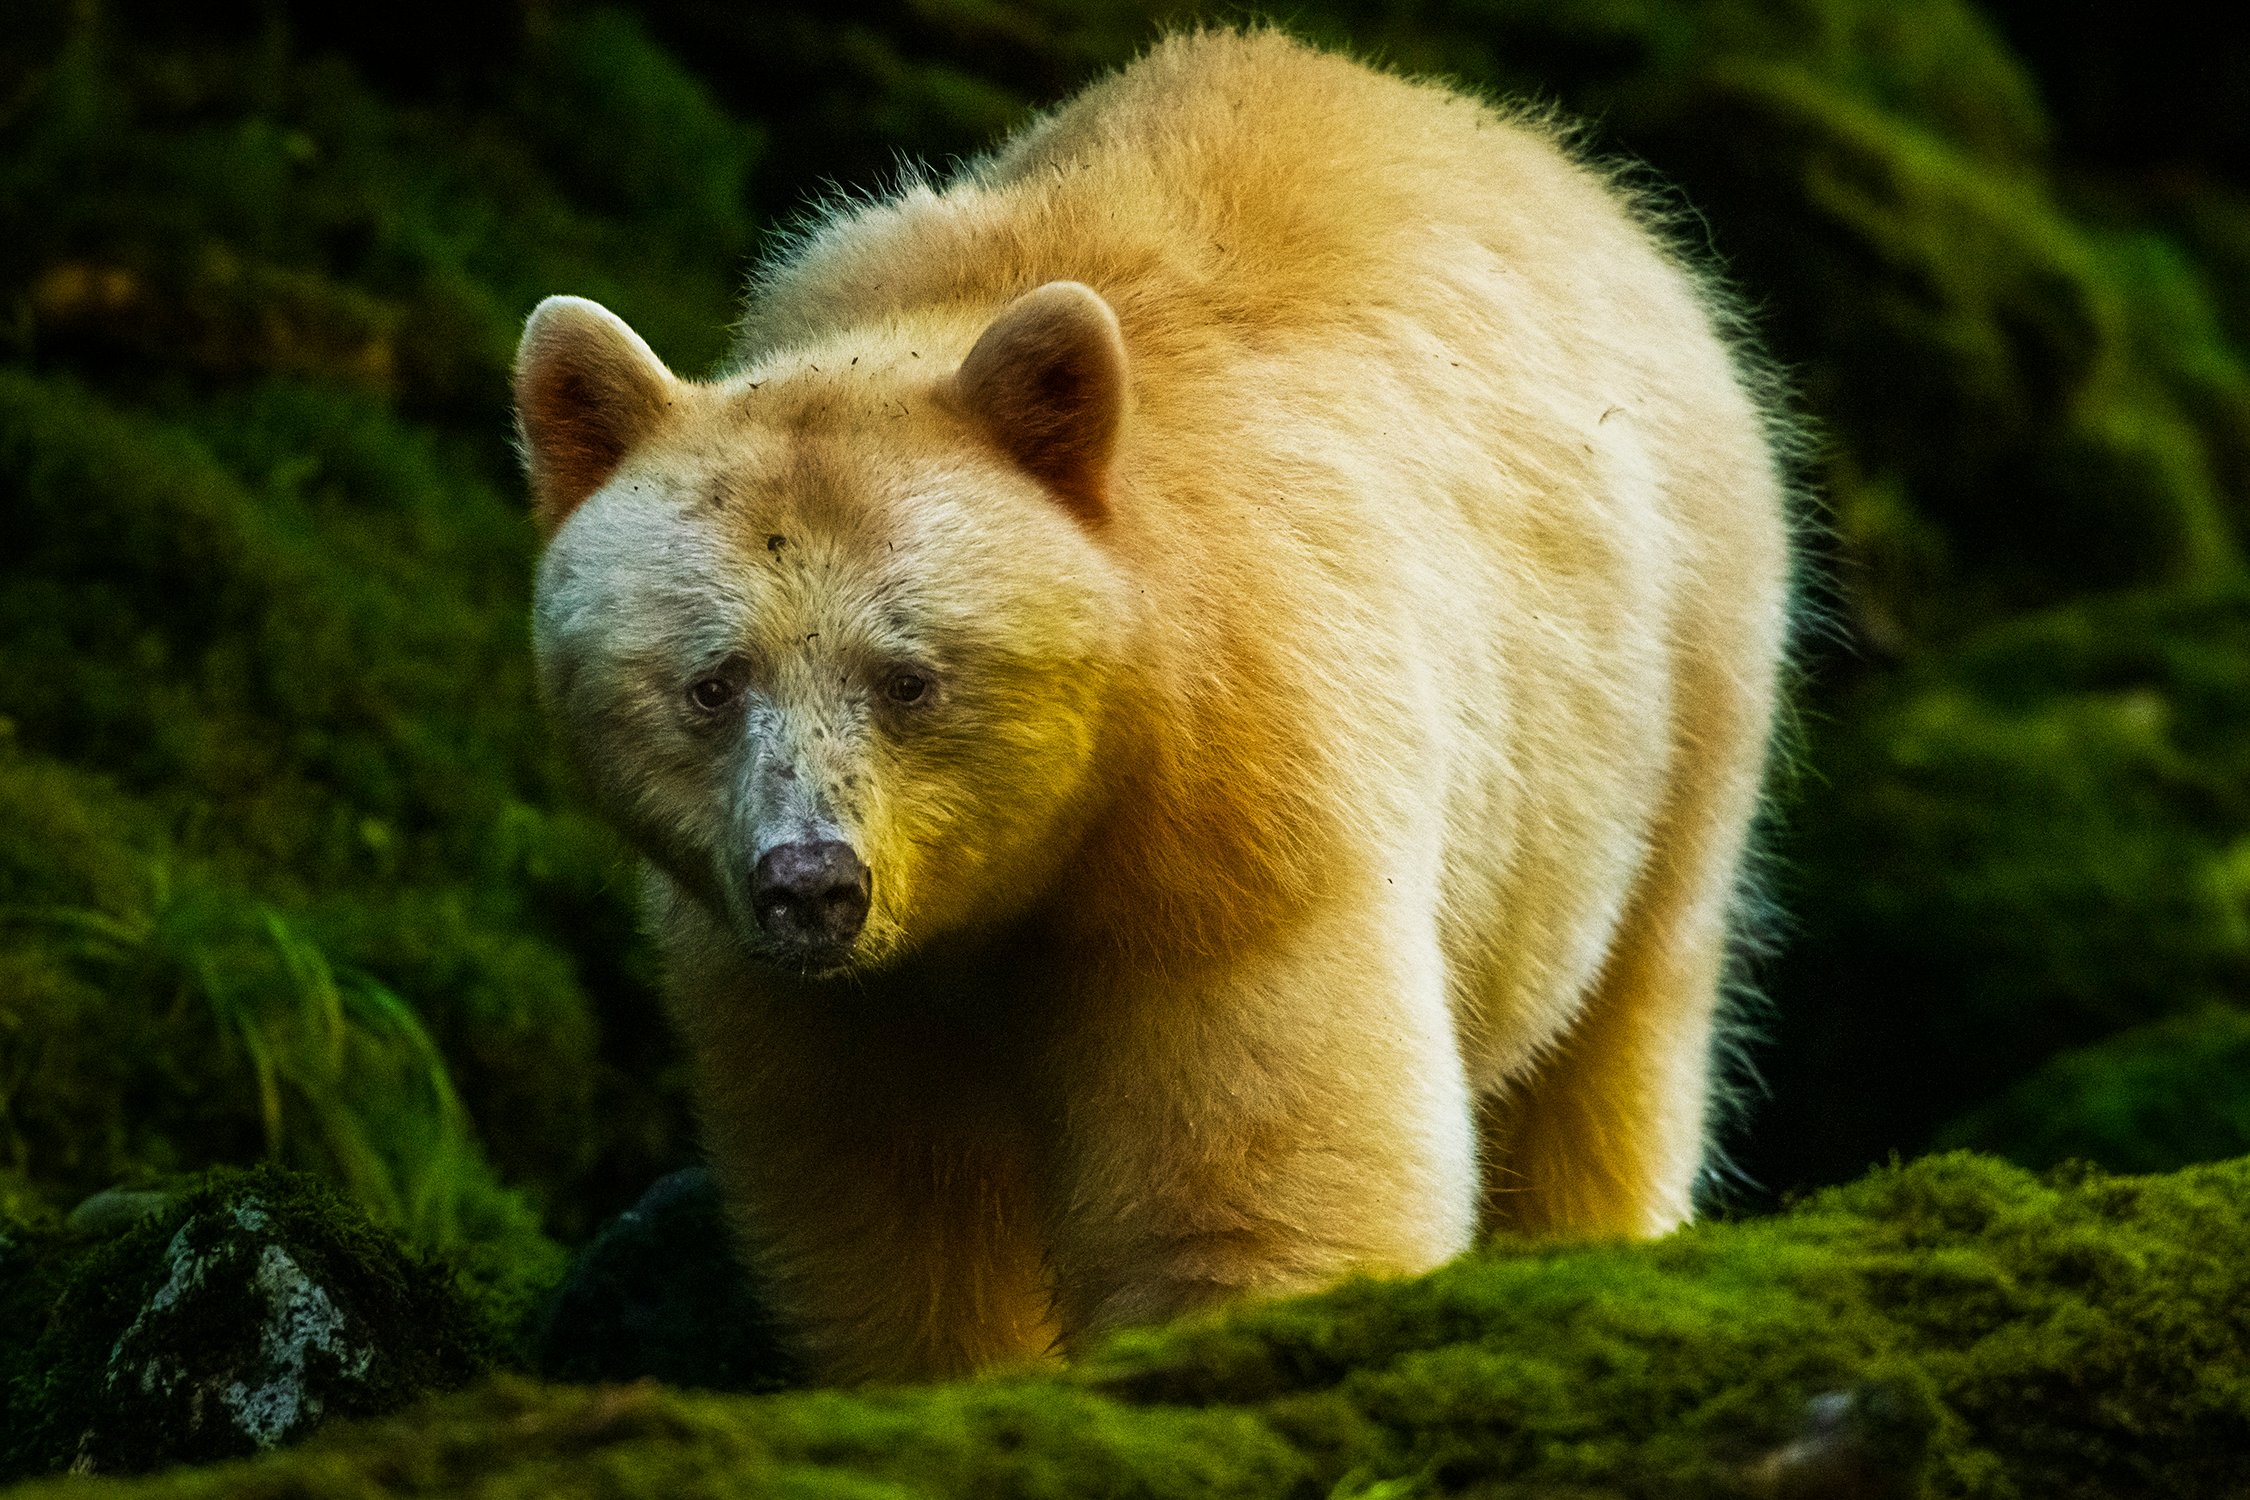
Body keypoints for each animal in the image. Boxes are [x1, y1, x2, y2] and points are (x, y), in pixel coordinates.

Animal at [516, 28, 1793, 1384]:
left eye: (909, 676)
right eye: (712, 682)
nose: (813, 884)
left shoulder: (1240, 809)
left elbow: (1250, 1152)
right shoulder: (809, 993)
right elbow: (894, 1203)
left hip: (1670, 678)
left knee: (1618, 1028)